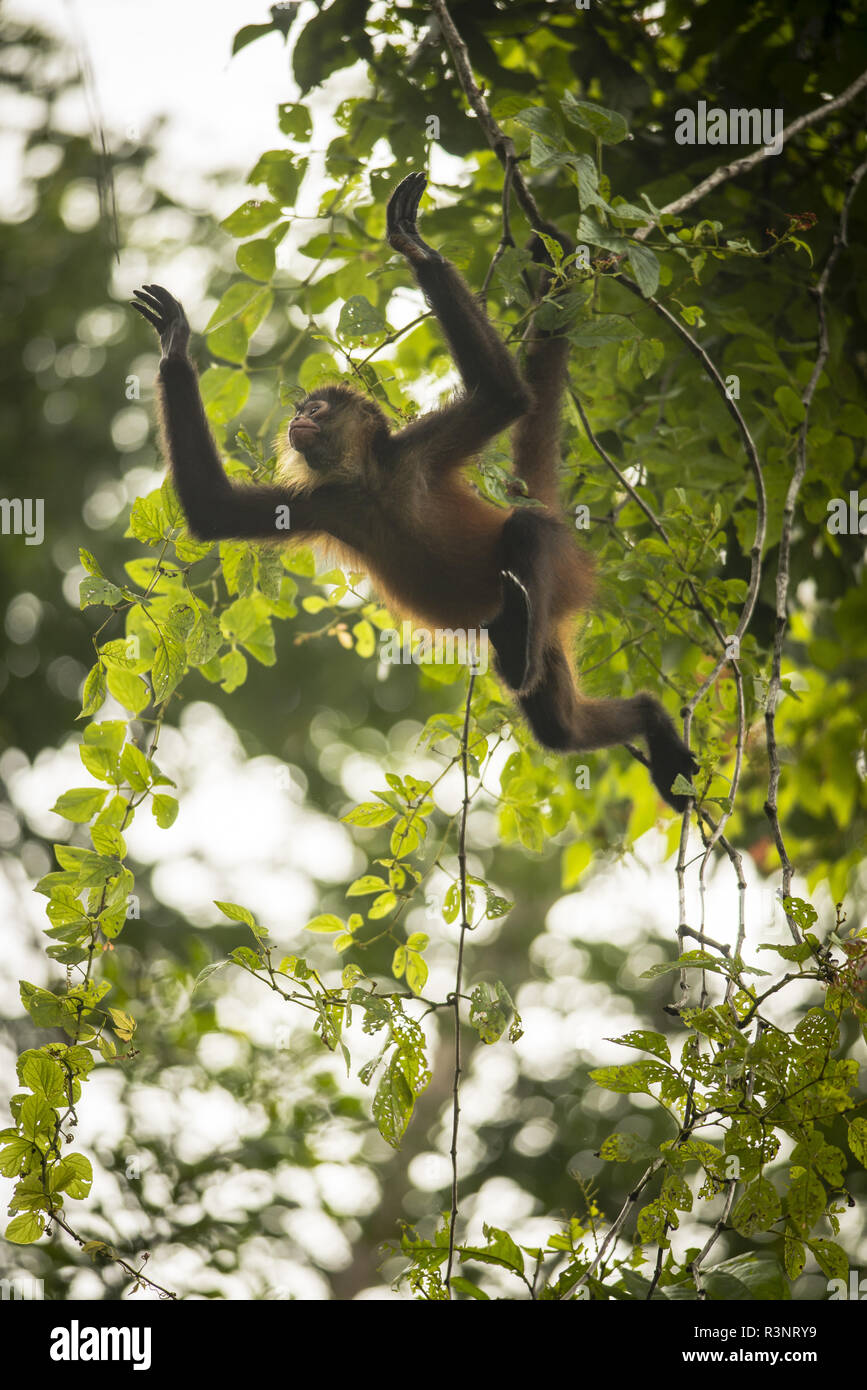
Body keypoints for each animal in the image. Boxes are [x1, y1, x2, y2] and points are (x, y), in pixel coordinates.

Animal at [132, 172, 698, 810]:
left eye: (316, 409)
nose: (296, 418)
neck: (372, 486)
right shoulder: (327, 502)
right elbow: (211, 509)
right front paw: (175, 347)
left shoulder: (412, 455)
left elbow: (506, 397)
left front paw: (414, 244)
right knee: (560, 726)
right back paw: (645, 716)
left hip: (563, 572)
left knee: (528, 530)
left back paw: (520, 653)